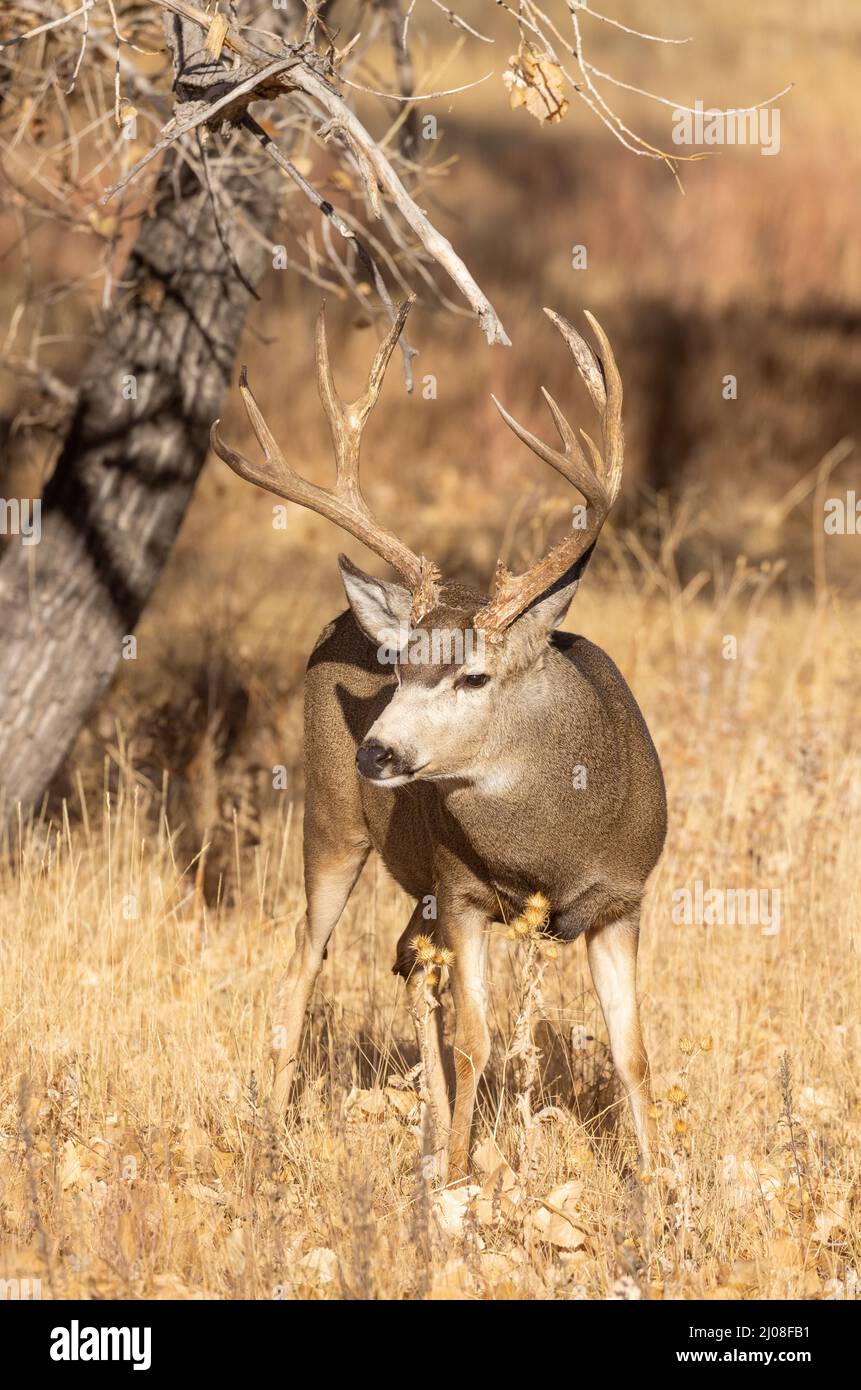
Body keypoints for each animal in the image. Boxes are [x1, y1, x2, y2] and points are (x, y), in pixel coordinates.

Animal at [211, 297, 667, 1182]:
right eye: (398, 666)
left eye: (474, 678)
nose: (377, 751)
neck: (552, 846)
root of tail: (340, 617)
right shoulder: (461, 889)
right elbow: (476, 1040)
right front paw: (458, 1184)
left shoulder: (624, 899)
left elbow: (633, 1054)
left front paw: (668, 1190)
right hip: (331, 821)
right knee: (303, 966)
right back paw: (274, 1143)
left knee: (405, 956)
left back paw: (422, 1126)